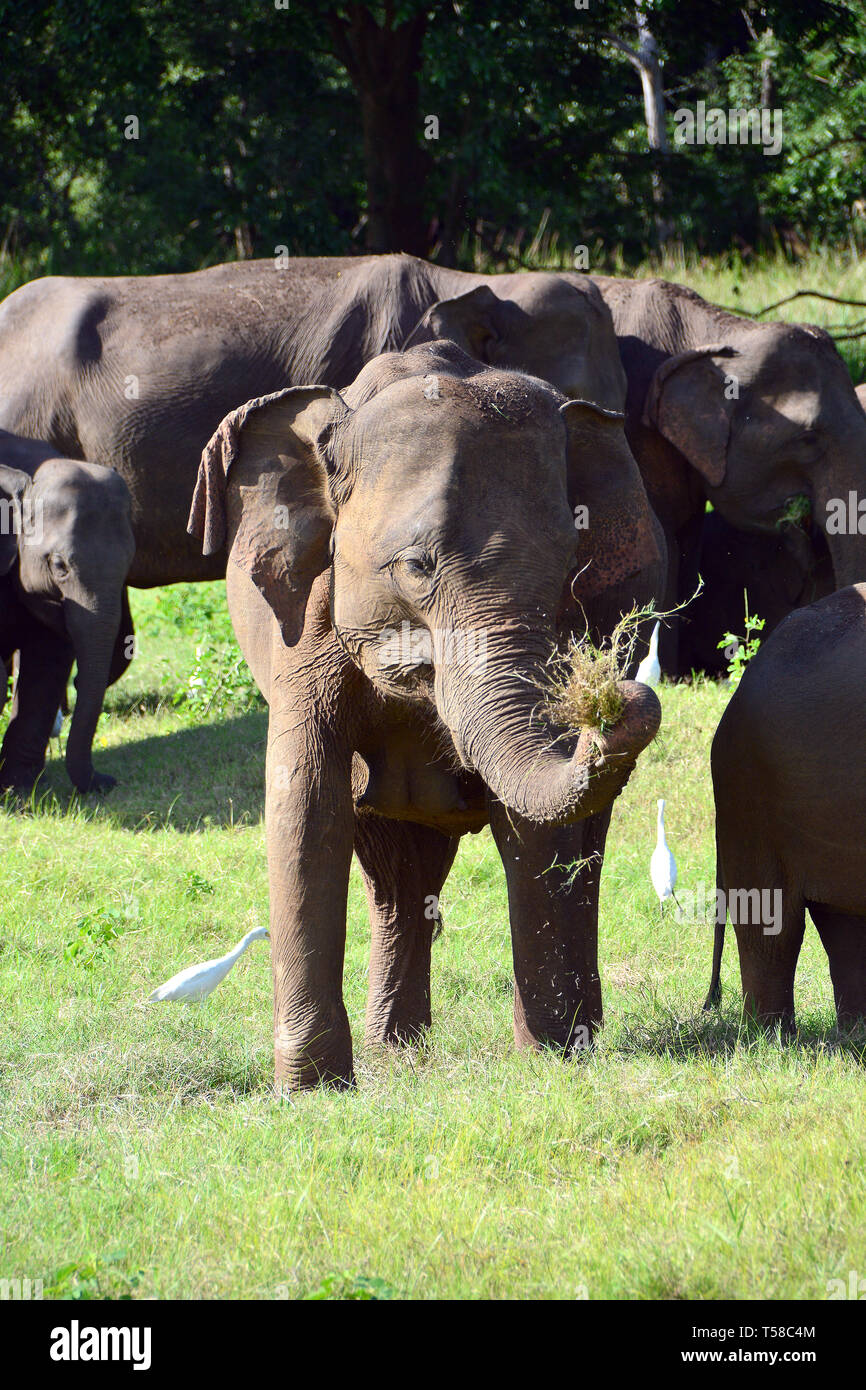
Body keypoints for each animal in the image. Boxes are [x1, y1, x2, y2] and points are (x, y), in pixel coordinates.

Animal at [188, 340, 662, 1090]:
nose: (617, 699)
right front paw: (312, 1090)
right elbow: (305, 802)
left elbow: (531, 825)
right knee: (395, 871)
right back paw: (397, 1051)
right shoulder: (306, 622)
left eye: (570, 566)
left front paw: (548, 1061)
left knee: (578, 849)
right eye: (415, 565)